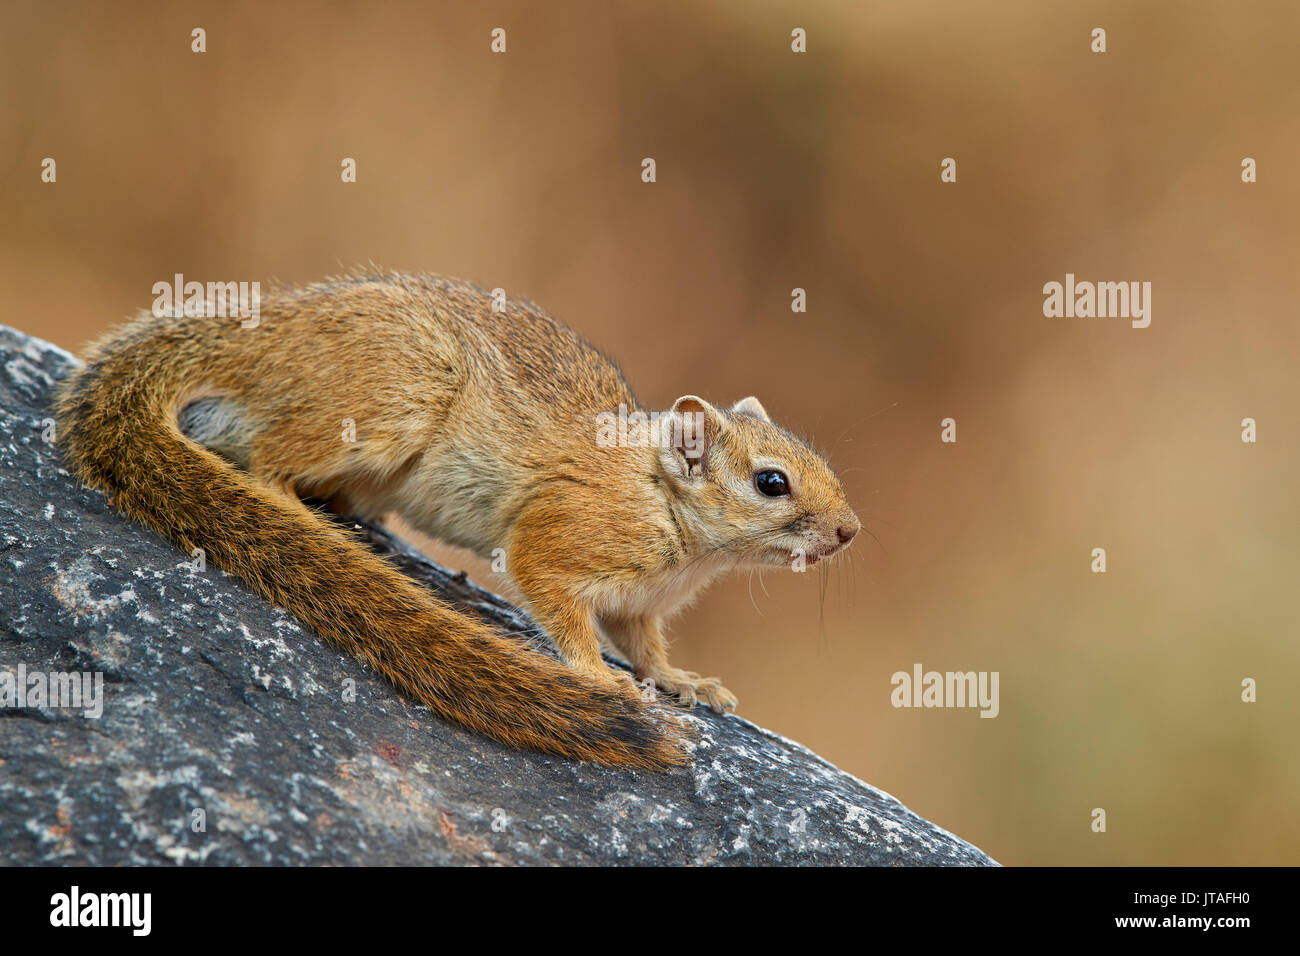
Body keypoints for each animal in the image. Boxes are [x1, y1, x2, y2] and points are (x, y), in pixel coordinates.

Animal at [55, 272, 860, 770]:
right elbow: (565, 614)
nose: (849, 531)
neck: (668, 510)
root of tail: (263, 332)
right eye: (772, 482)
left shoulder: (640, 607)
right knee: (266, 459)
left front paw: (684, 681)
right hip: (386, 403)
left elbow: (647, 646)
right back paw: (298, 515)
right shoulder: (553, 544)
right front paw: (606, 682)